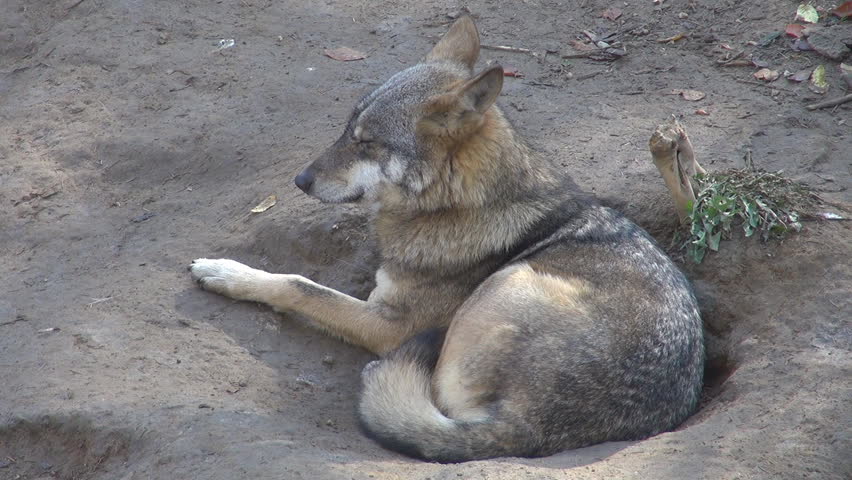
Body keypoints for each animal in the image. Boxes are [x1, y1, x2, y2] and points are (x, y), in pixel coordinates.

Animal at [189, 15, 704, 462]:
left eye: (367, 143)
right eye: (345, 131)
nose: (300, 180)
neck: (455, 205)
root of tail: (528, 429)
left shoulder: (390, 326)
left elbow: (299, 286)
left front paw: (226, 272)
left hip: (506, 281)